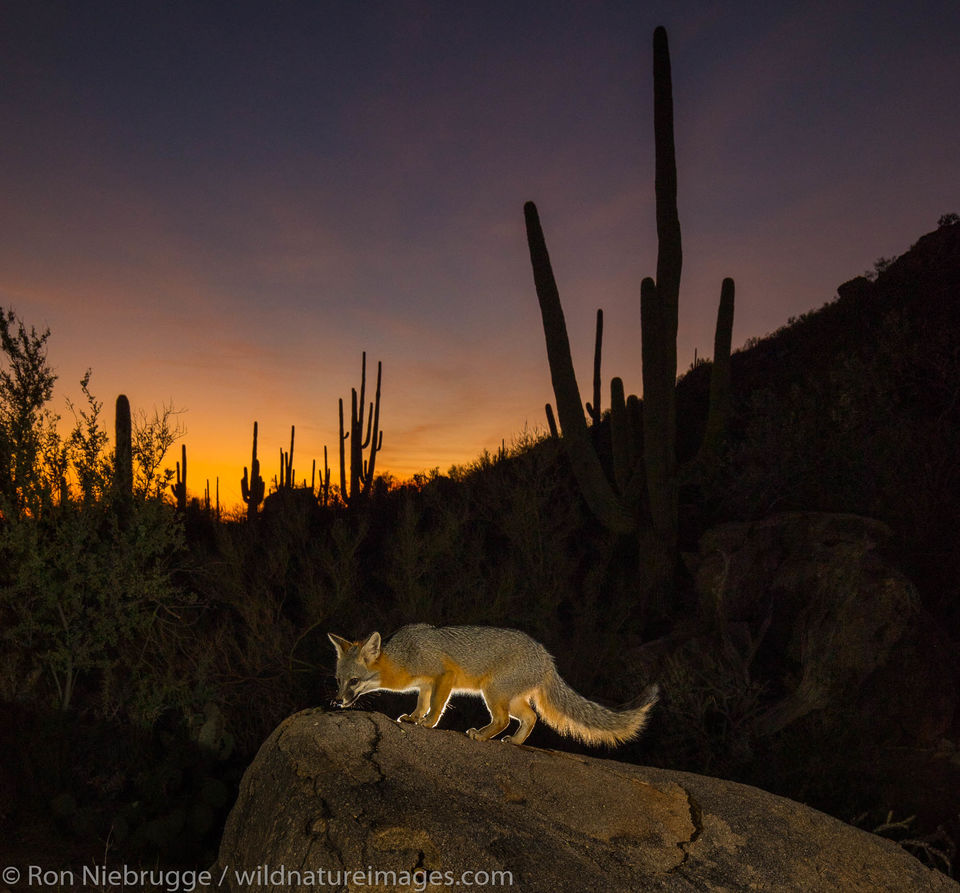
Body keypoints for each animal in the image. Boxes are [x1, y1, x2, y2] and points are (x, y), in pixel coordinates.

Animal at [328, 623, 658, 747]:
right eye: (339, 681)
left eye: (354, 681)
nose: (338, 701)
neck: (403, 656)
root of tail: (547, 658)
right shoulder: (425, 684)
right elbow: (421, 703)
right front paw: (414, 717)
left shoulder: (444, 676)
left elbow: (436, 706)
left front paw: (429, 723)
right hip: (510, 698)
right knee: (531, 717)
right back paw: (515, 742)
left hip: (493, 693)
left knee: (502, 720)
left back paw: (483, 735)